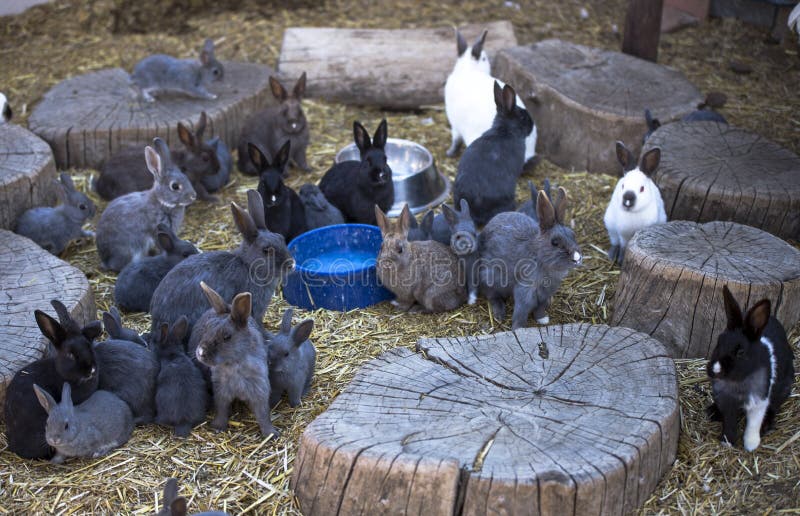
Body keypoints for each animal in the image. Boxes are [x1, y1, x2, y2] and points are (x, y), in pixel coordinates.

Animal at [192, 282, 279, 439]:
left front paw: (271, 434)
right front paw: (217, 427)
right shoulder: (221, 391)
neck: (234, 363)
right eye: (206, 329)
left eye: (227, 337)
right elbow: (221, 410)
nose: (200, 352)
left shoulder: (259, 389)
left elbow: (263, 414)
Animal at [479, 187, 582, 329]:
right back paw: (499, 314)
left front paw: (543, 319)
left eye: (573, 235)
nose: (577, 258)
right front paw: (518, 328)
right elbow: (522, 310)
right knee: (492, 296)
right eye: (554, 242)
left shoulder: (545, 293)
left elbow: (540, 308)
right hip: (490, 277)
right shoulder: (525, 289)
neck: (538, 255)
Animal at [707, 286, 795, 451]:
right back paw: (712, 412)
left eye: (740, 352)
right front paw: (727, 441)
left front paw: (751, 445)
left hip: (784, 388)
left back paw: (767, 425)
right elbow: (729, 422)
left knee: (774, 407)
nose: (715, 370)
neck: (737, 381)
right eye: (718, 342)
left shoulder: (759, 402)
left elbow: (753, 424)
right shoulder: (726, 401)